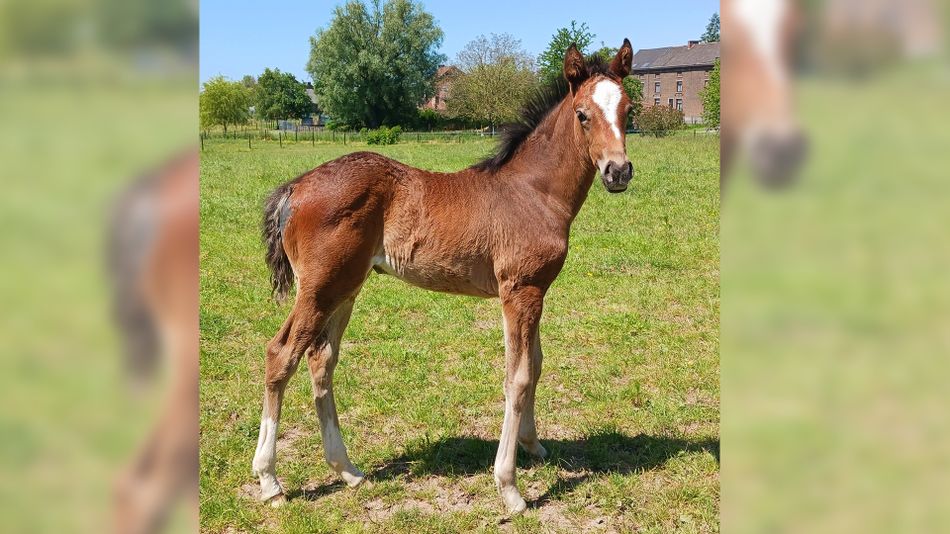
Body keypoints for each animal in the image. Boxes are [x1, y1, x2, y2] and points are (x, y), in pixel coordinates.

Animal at [251, 41, 635, 515]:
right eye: (582, 114)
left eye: (628, 109)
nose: (618, 172)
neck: (533, 192)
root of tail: (294, 188)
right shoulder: (520, 291)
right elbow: (518, 376)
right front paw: (509, 487)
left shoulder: (533, 292)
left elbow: (536, 364)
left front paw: (534, 446)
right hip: (320, 289)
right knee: (280, 354)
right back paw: (270, 481)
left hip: (345, 289)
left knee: (320, 360)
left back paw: (348, 470)